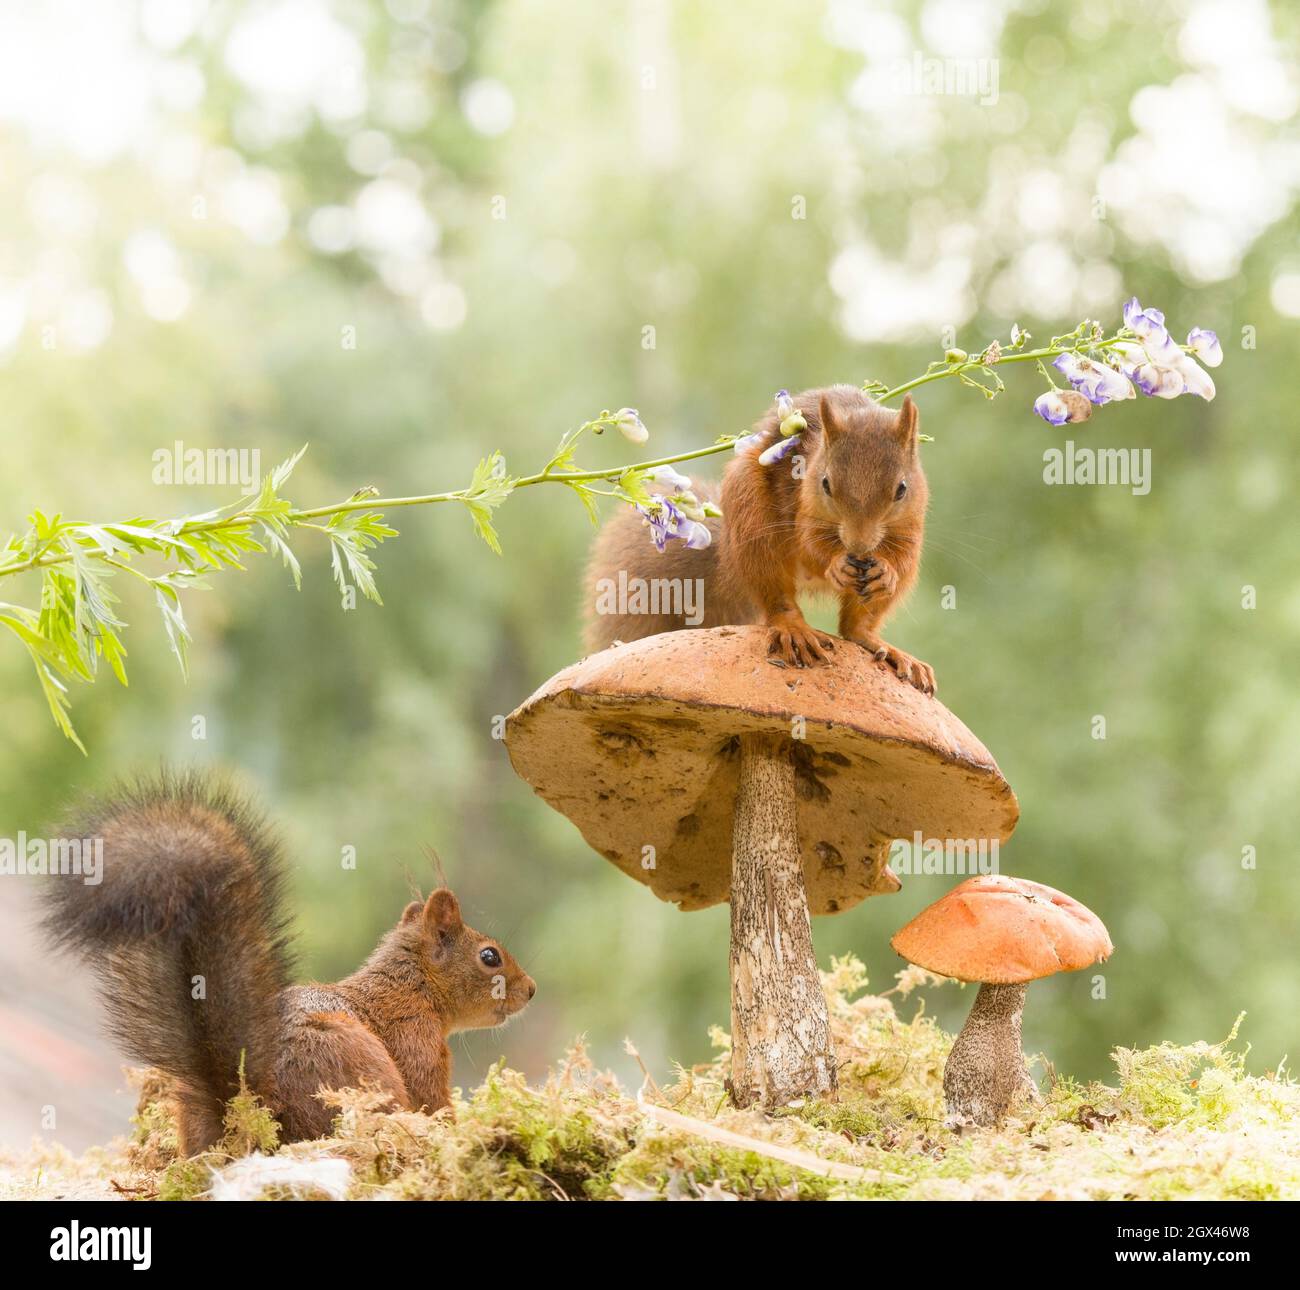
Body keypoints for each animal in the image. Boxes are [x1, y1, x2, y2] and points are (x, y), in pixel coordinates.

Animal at [40, 773, 535, 1156]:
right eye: (489, 957)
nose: (530, 989)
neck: (411, 986)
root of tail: (246, 1111)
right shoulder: (414, 1038)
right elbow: (433, 1101)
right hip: (353, 1067)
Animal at [585, 384, 935, 693]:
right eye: (825, 483)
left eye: (902, 489)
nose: (859, 547)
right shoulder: (803, 506)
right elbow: (811, 546)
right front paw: (835, 564)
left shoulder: (912, 524)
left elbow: (901, 556)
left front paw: (886, 572)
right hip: (753, 527)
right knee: (777, 598)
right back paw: (795, 629)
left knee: (854, 629)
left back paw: (886, 648)